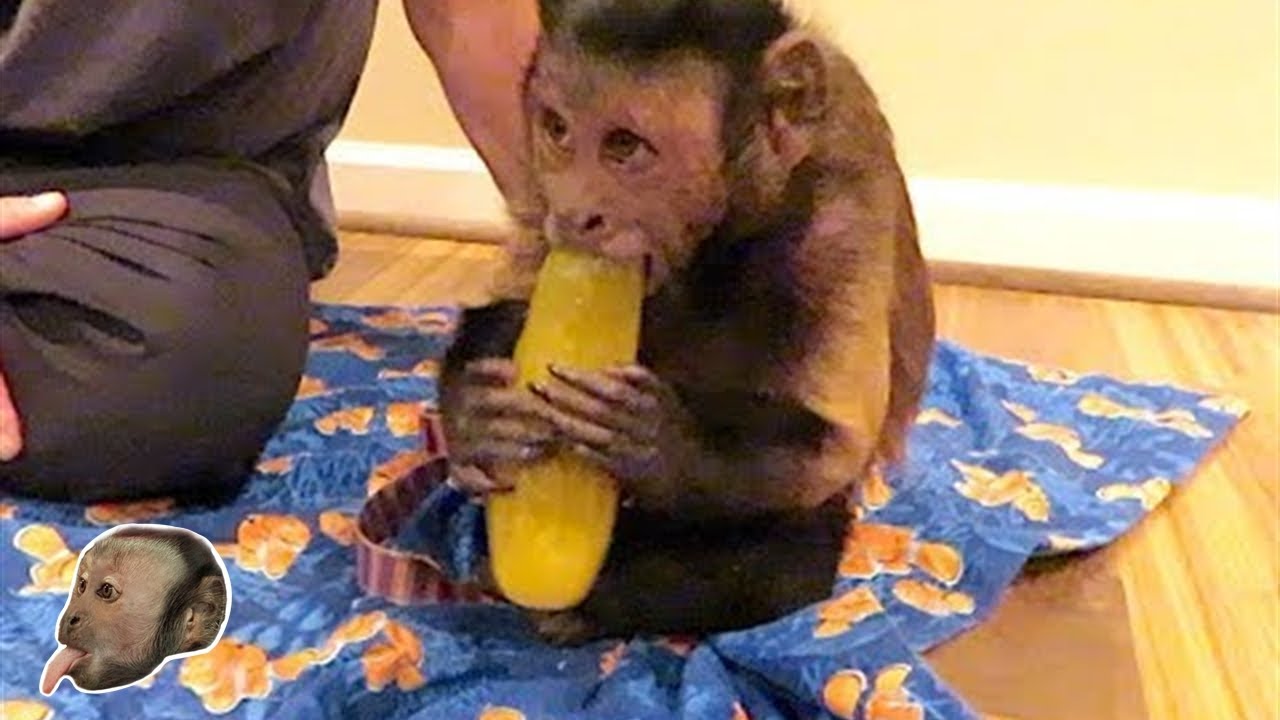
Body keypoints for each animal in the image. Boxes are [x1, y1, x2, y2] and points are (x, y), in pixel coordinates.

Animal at [439, 0, 935, 644]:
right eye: (557, 130)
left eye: (624, 146)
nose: (576, 214)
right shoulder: (539, 195)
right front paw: (474, 414)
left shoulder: (840, 213)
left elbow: (836, 447)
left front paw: (659, 440)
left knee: (786, 558)